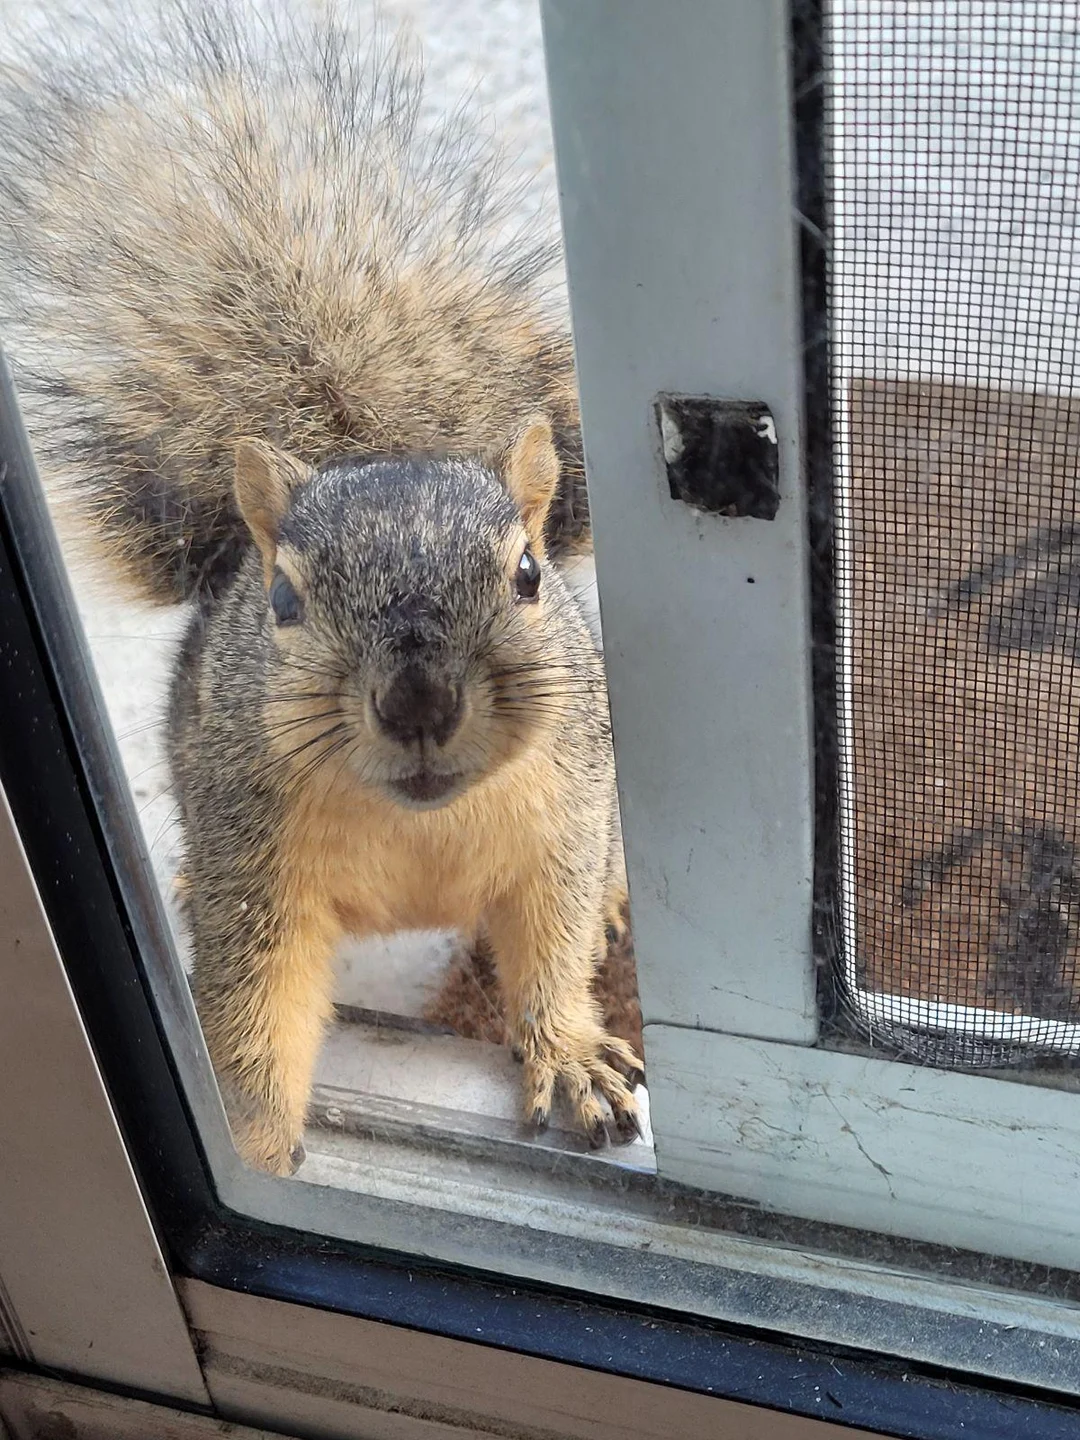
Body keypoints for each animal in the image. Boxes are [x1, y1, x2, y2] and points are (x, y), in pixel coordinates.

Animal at [0, 0, 643, 1174]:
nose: (419, 702)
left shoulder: (561, 821)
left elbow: (552, 945)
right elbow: (256, 1008)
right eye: (286, 600)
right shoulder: (261, 867)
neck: (420, 826)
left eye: (528, 574)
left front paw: (573, 1054)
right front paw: (252, 1148)